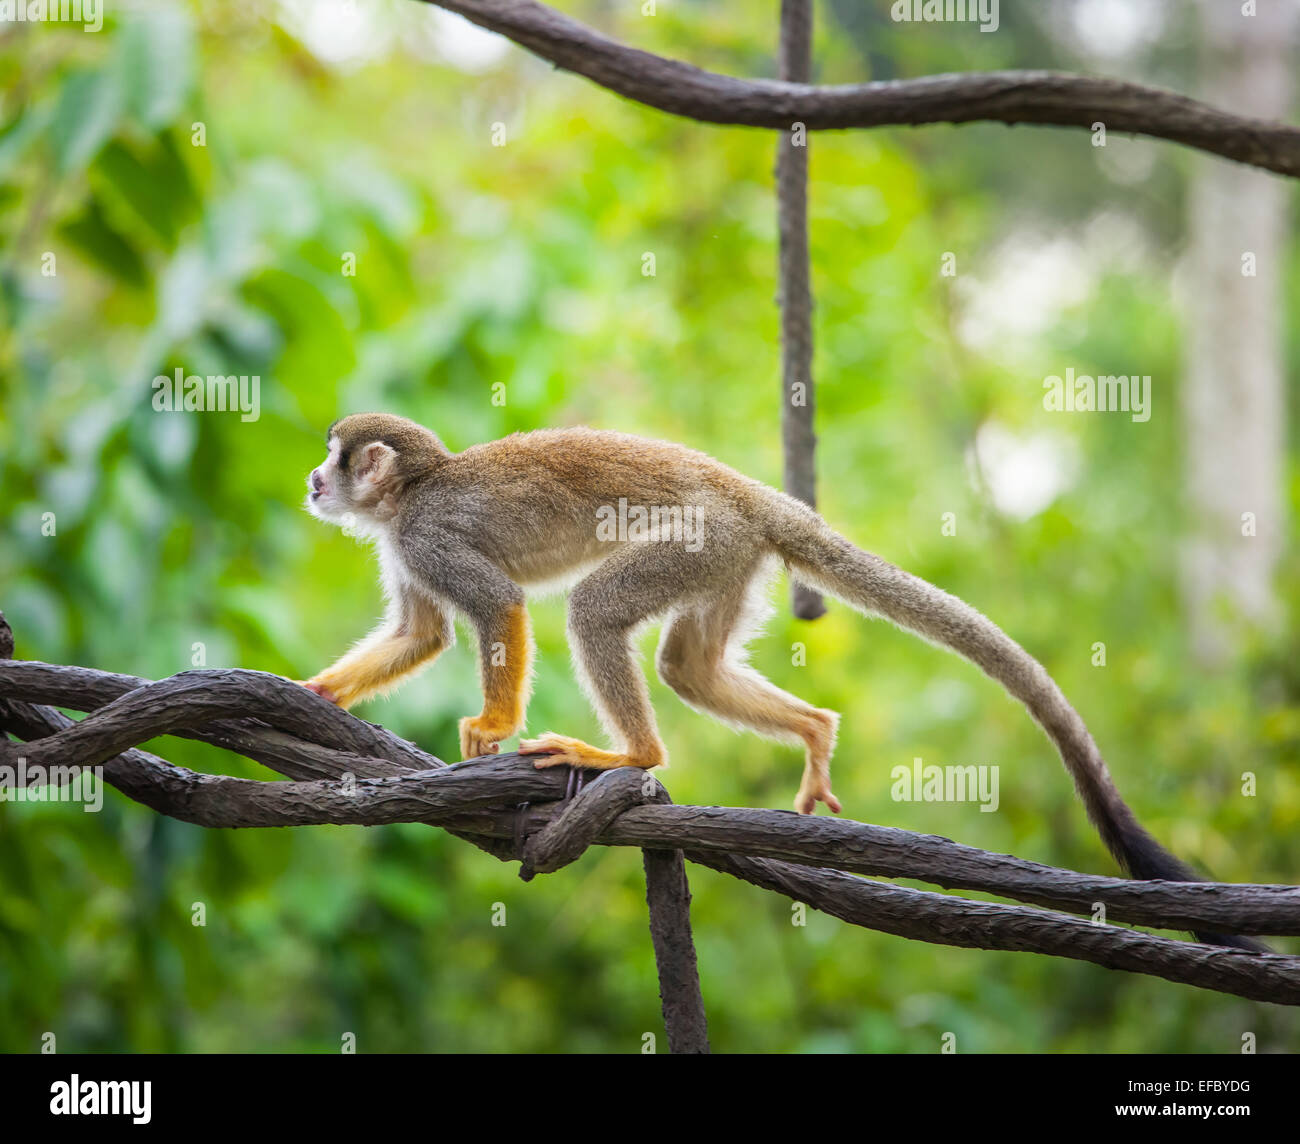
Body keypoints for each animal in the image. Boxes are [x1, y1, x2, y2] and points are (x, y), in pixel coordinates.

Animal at [301, 412, 1261, 949]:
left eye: (336, 457)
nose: (313, 481)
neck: (410, 496)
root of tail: (750, 492)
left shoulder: (427, 536)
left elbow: (498, 606)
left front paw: (493, 726)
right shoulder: (405, 549)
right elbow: (421, 633)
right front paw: (316, 695)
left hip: (697, 535)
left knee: (594, 611)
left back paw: (633, 754)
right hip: (729, 555)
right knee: (687, 665)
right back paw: (812, 732)